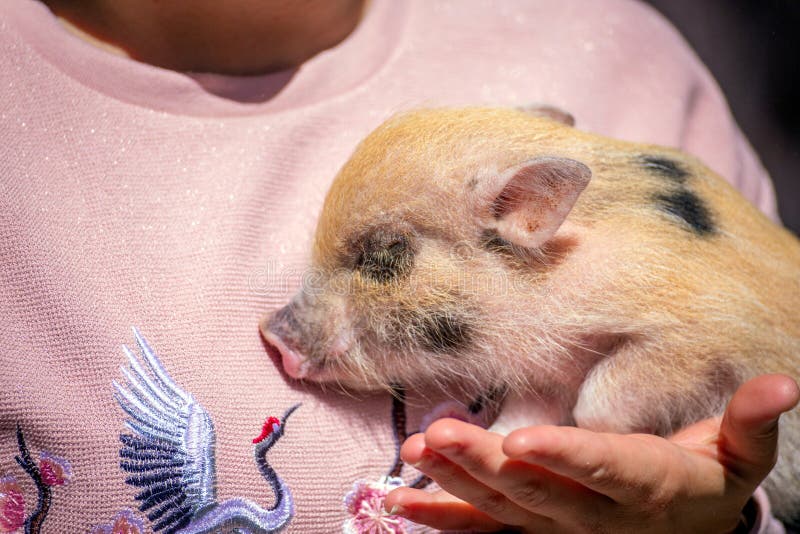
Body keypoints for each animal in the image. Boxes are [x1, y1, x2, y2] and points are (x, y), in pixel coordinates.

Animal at [260, 107, 800, 522]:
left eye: (385, 252)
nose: (271, 335)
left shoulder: (696, 337)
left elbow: (597, 405)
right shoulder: (551, 370)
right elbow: (522, 418)